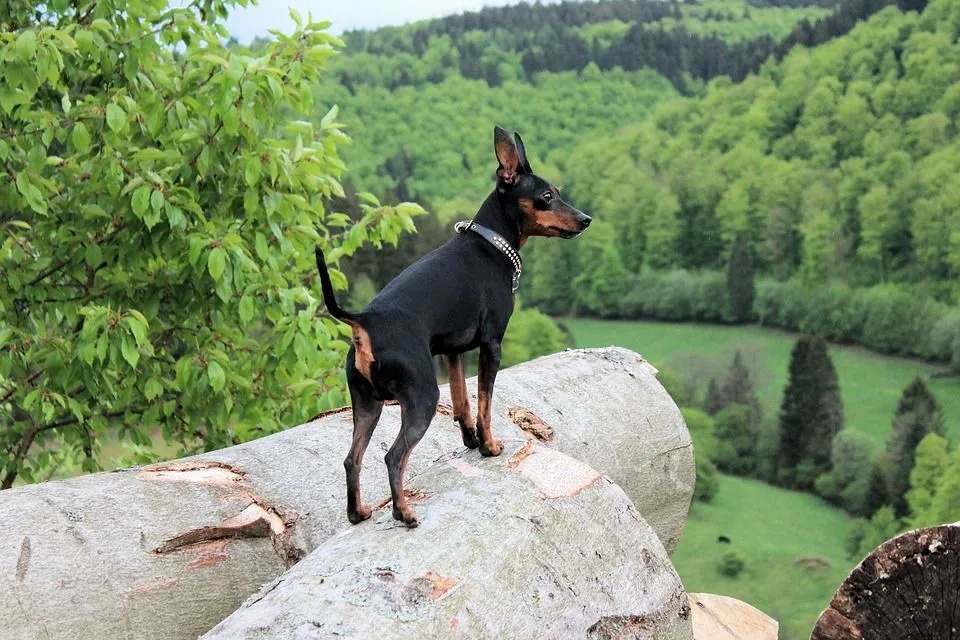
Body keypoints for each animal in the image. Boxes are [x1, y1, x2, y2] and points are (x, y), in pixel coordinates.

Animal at [314, 126, 592, 524]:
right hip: (421, 398)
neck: (492, 244)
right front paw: (489, 446)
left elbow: (463, 403)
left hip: (367, 405)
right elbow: (485, 404)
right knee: (393, 456)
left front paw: (471, 442)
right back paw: (403, 512)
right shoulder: (491, 345)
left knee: (352, 459)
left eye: (558, 191)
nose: (586, 219)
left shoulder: (453, 351)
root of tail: (364, 320)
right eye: (546, 196)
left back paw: (358, 512)